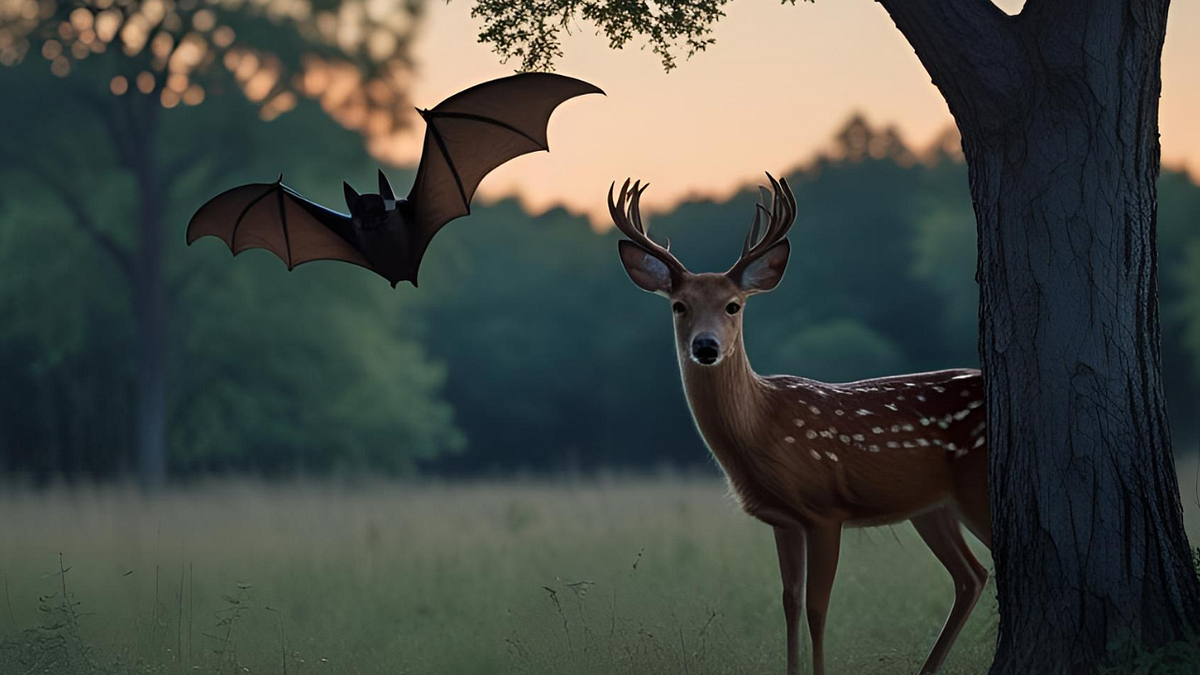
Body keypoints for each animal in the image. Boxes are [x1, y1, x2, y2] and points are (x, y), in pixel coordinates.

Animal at [609, 175, 992, 675]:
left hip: (977, 487)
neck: (761, 427)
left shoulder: (824, 509)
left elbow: (817, 606)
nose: (706, 346)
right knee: (971, 576)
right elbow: (789, 602)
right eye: (678, 306)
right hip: (931, 506)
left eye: (733, 306)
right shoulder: (784, 520)